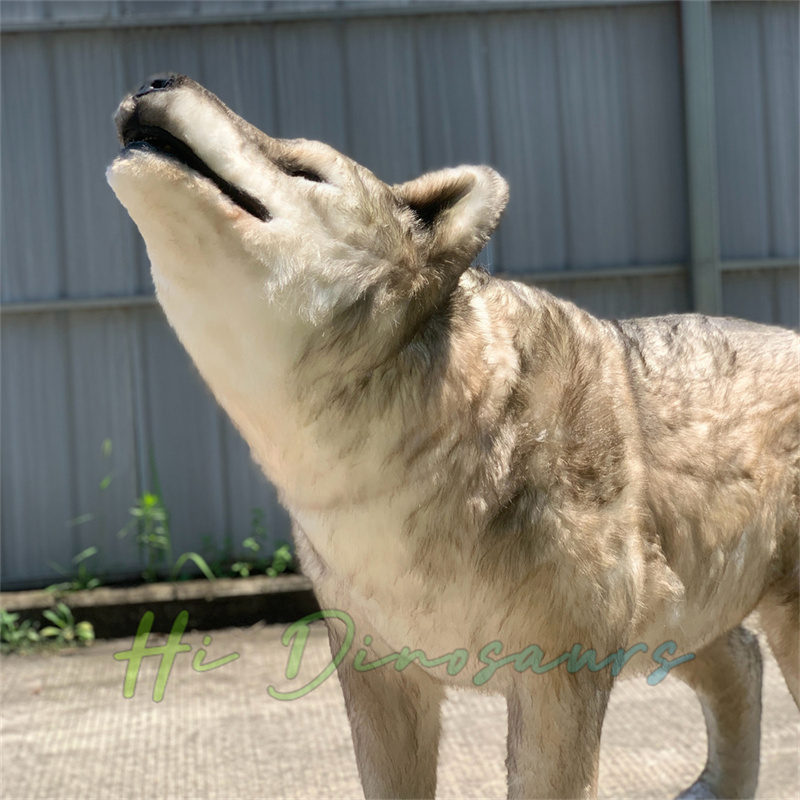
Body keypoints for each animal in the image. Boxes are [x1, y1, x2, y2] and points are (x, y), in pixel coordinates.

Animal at [108, 75, 799, 800]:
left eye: (302, 169)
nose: (158, 80)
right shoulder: (377, 672)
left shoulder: (559, 681)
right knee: (742, 658)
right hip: (680, 620)